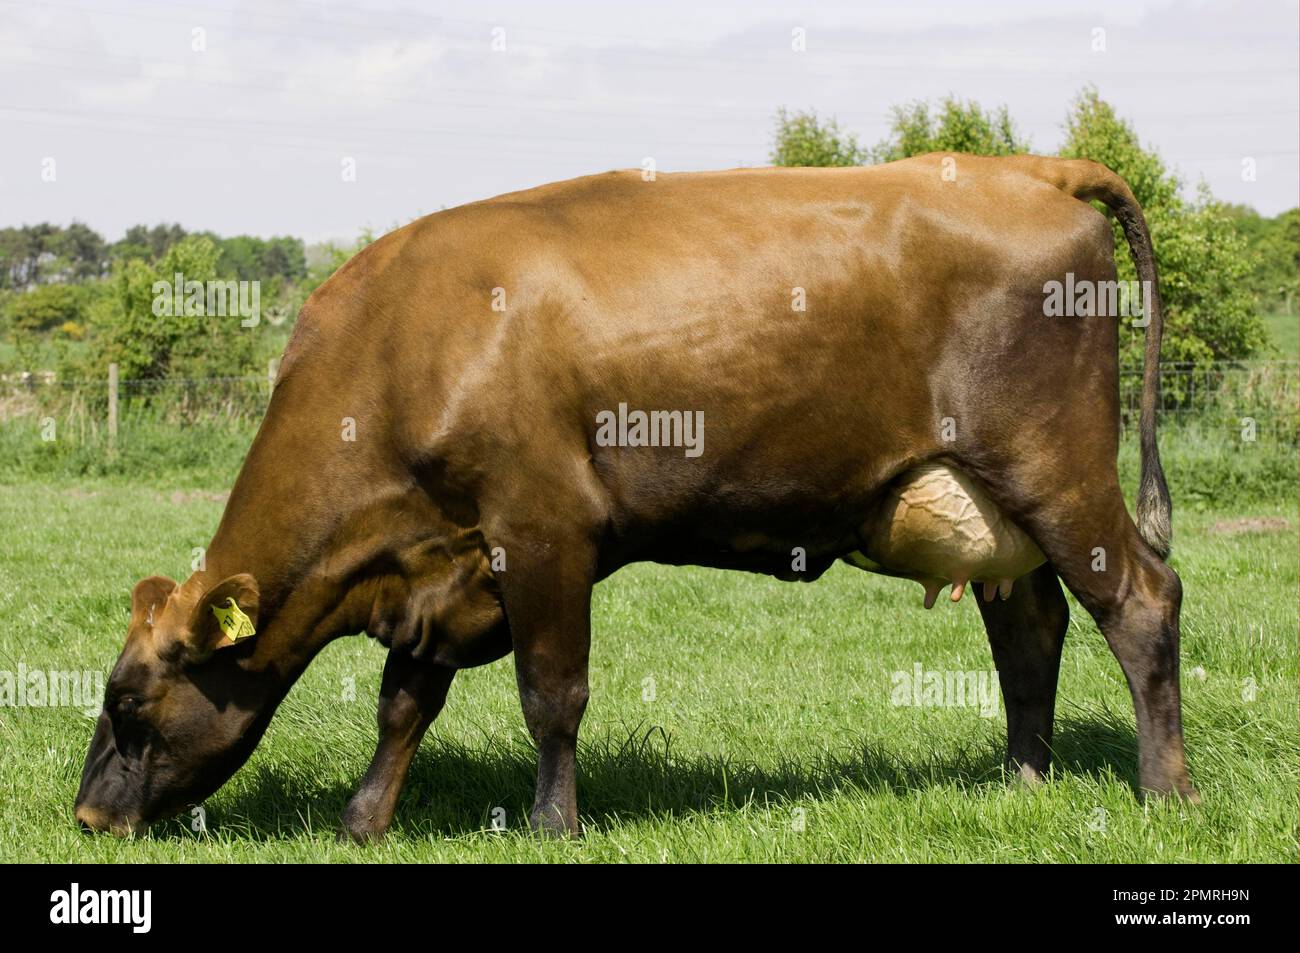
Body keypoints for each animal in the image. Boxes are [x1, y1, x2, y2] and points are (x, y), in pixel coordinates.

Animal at [75, 153, 1197, 841]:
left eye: (129, 703)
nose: (85, 816)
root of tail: (1026, 166)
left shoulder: (542, 530)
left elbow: (550, 693)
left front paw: (550, 824)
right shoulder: (446, 559)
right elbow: (405, 699)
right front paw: (364, 821)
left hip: (1054, 466)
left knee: (1140, 602)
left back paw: (1165, 789)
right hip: (992, 505)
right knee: (1031, 630)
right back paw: (1022, 780)